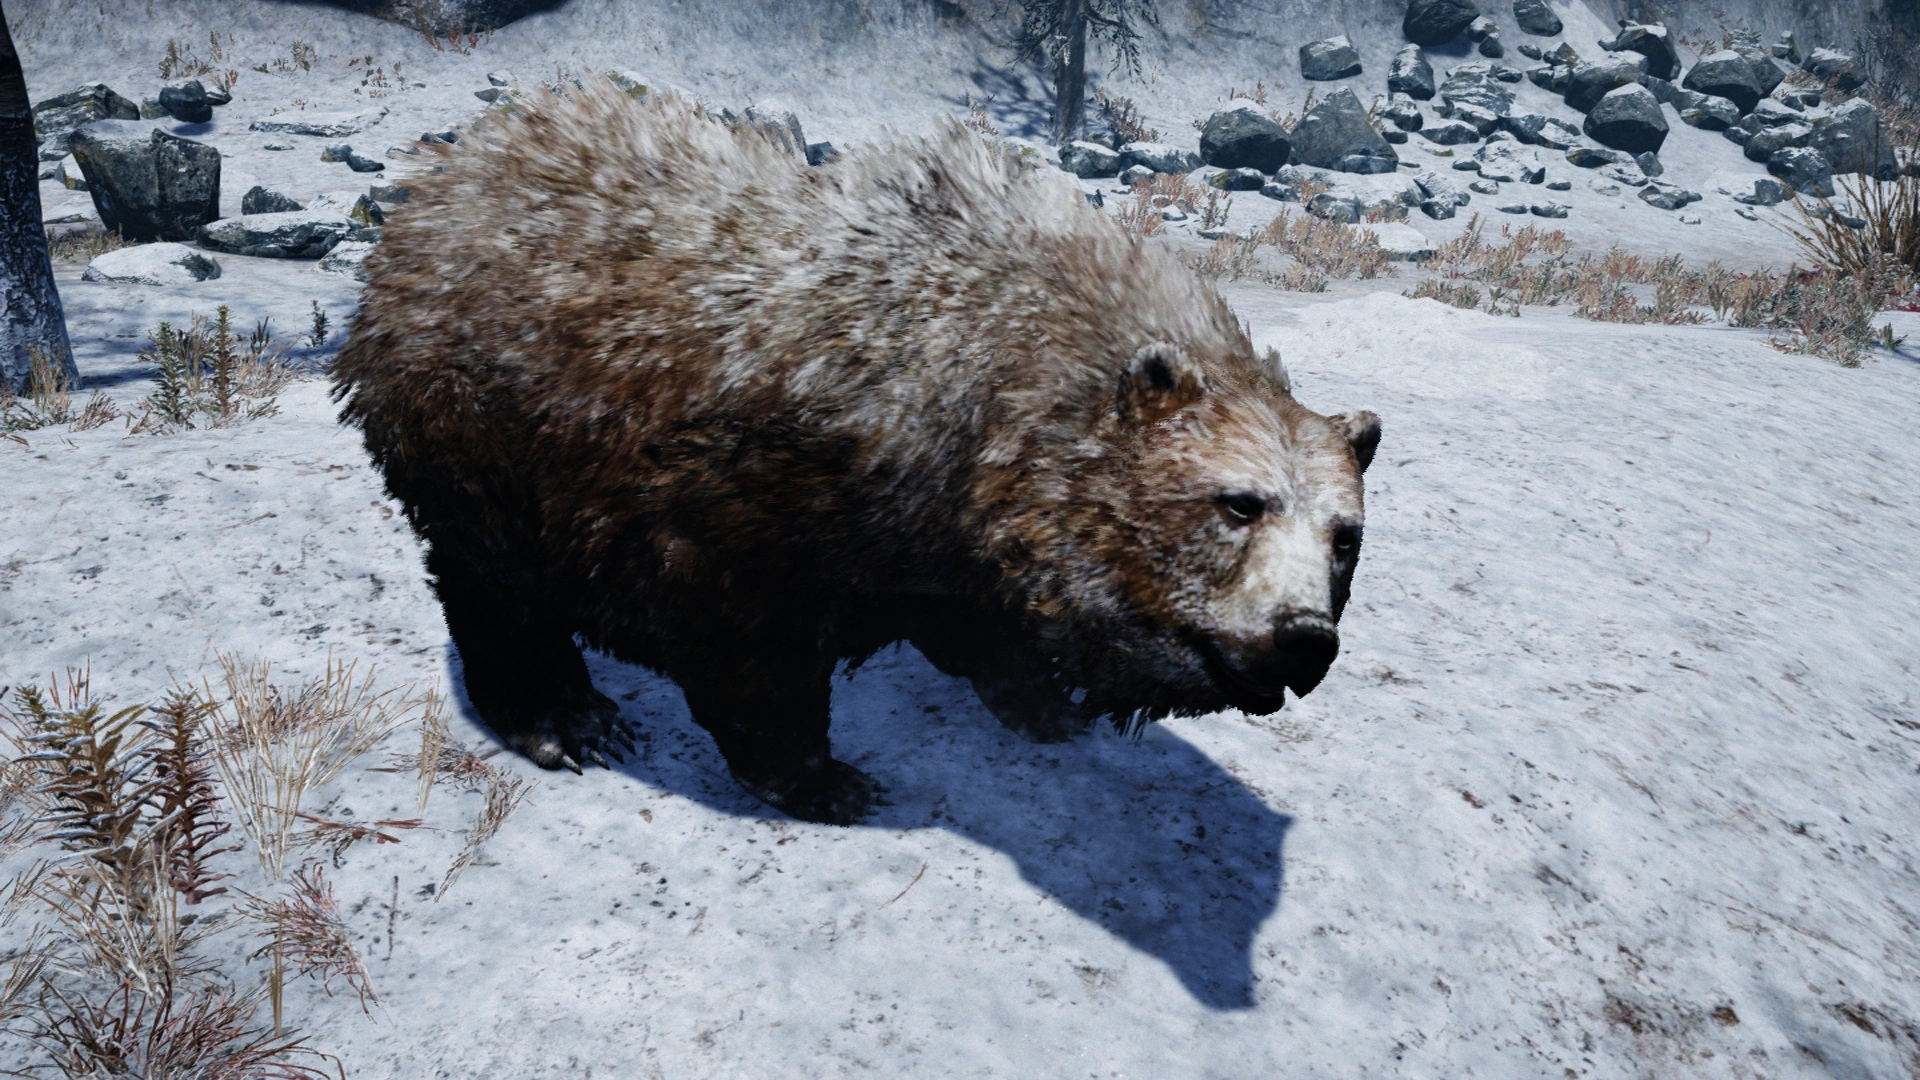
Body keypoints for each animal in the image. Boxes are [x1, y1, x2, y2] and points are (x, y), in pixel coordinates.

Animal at [332, 79, 1382, 825]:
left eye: (1346, 537)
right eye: (1238, 503)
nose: (1301, 638)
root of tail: (434, 187)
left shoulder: (954, 530)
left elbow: (977, 622)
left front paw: (1041, 699)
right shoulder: (751, 494)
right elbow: (749, 648)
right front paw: (820, 779)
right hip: (475, 429)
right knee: (496, 585)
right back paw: (563, 717)